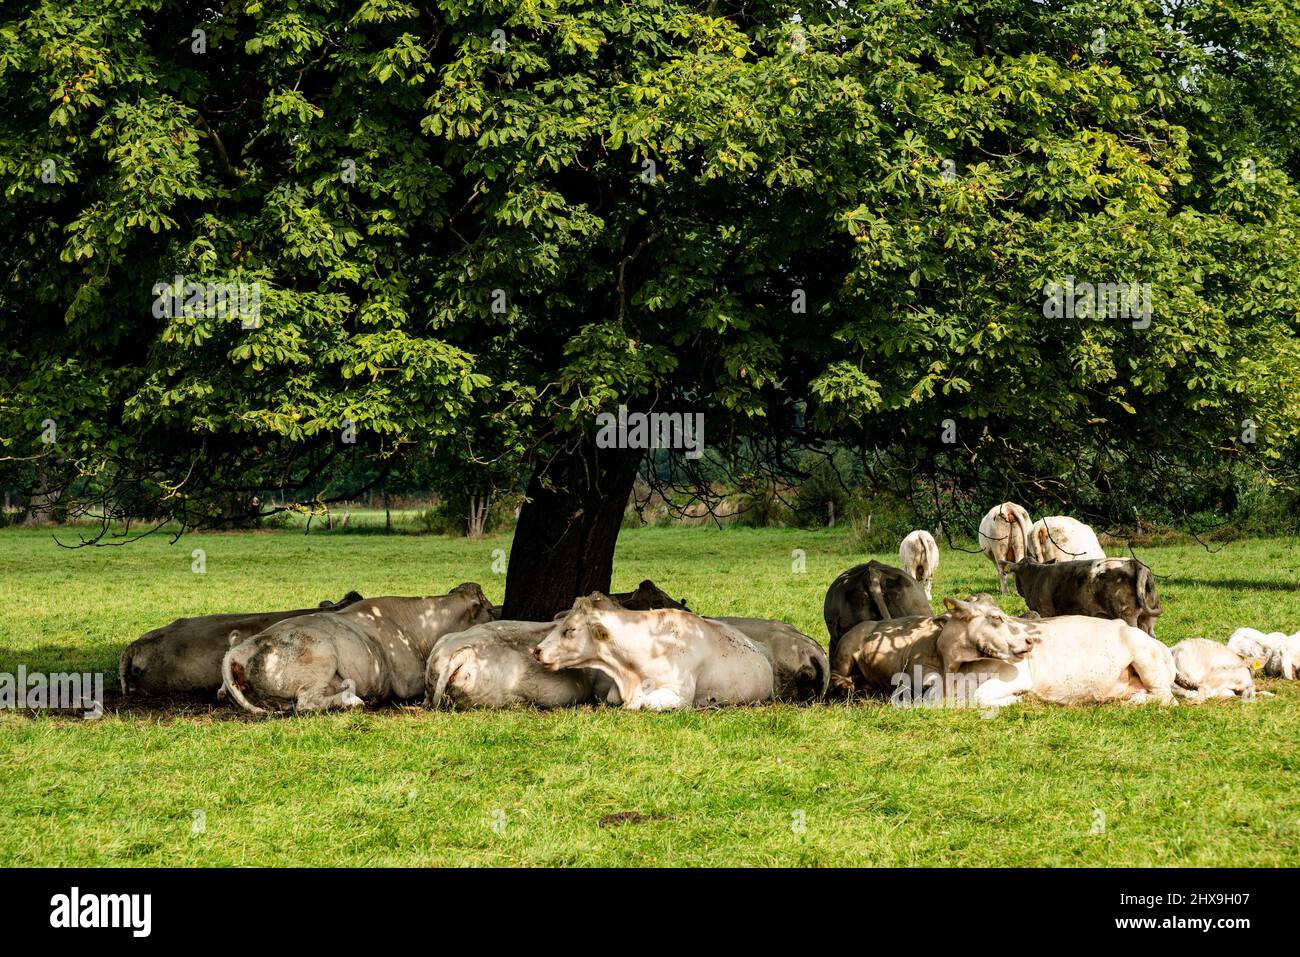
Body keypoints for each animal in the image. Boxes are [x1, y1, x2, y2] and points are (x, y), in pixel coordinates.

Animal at [221, 583, 493, 713]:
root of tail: (240, 649)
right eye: (490, 610)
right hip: (322, 656)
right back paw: (353, 700)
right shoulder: (407, 682)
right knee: (307, 702)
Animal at [940, 598, 1177, 707]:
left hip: (1146, 660)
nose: (1028, 642)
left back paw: (1132, 702)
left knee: (1166, 697)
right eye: (996, 617)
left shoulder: (1017, 676)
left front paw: (1019, 699)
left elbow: (980, 696)